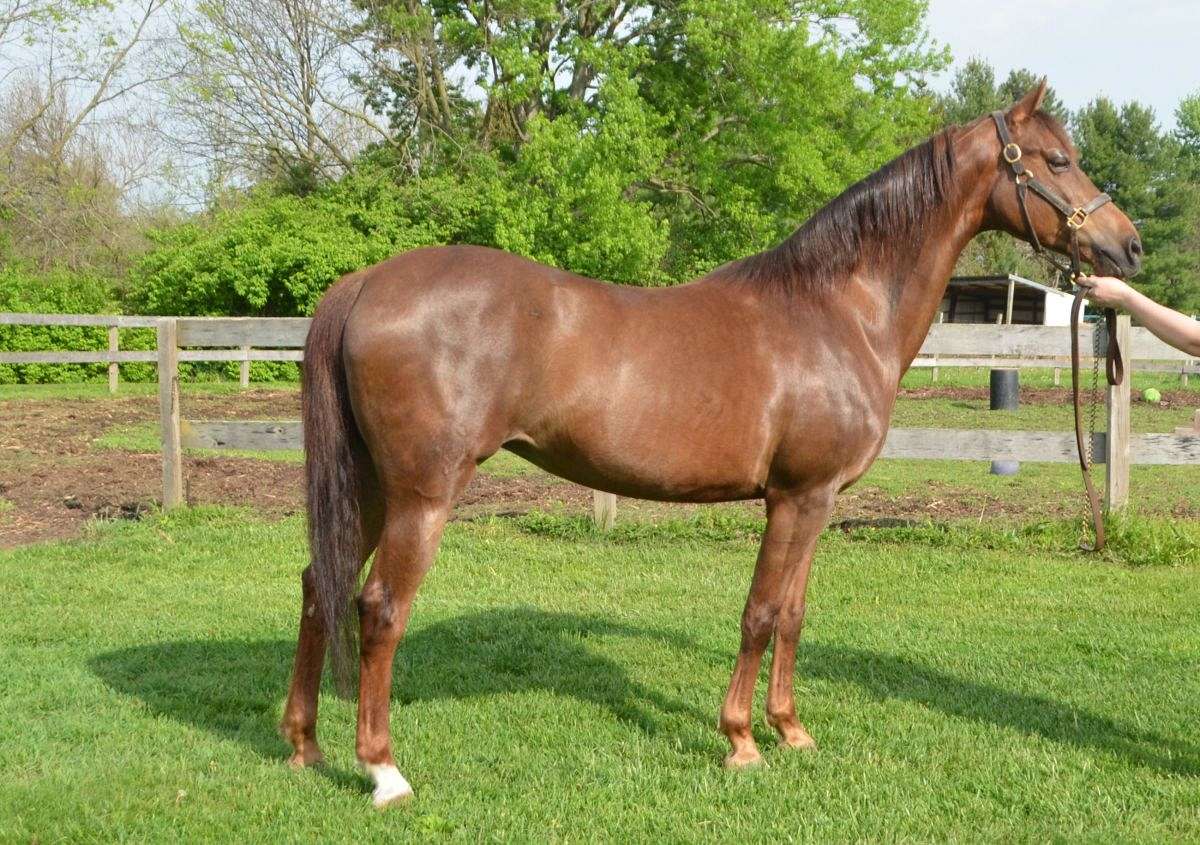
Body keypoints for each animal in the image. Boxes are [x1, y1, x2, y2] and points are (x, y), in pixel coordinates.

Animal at [279, 80, 1142, 807]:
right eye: (1057, 159)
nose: (1127, 247)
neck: (837, 308)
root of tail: (363, 284)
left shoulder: (818, 500)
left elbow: (793, 612)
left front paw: (791, 729)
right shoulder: (795, 497)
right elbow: (760, 612)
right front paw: (740, 740)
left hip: (369, 485)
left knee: (319, 584)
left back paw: (304, 744)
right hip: (423, 494)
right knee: (380, 607)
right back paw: (383, 770)